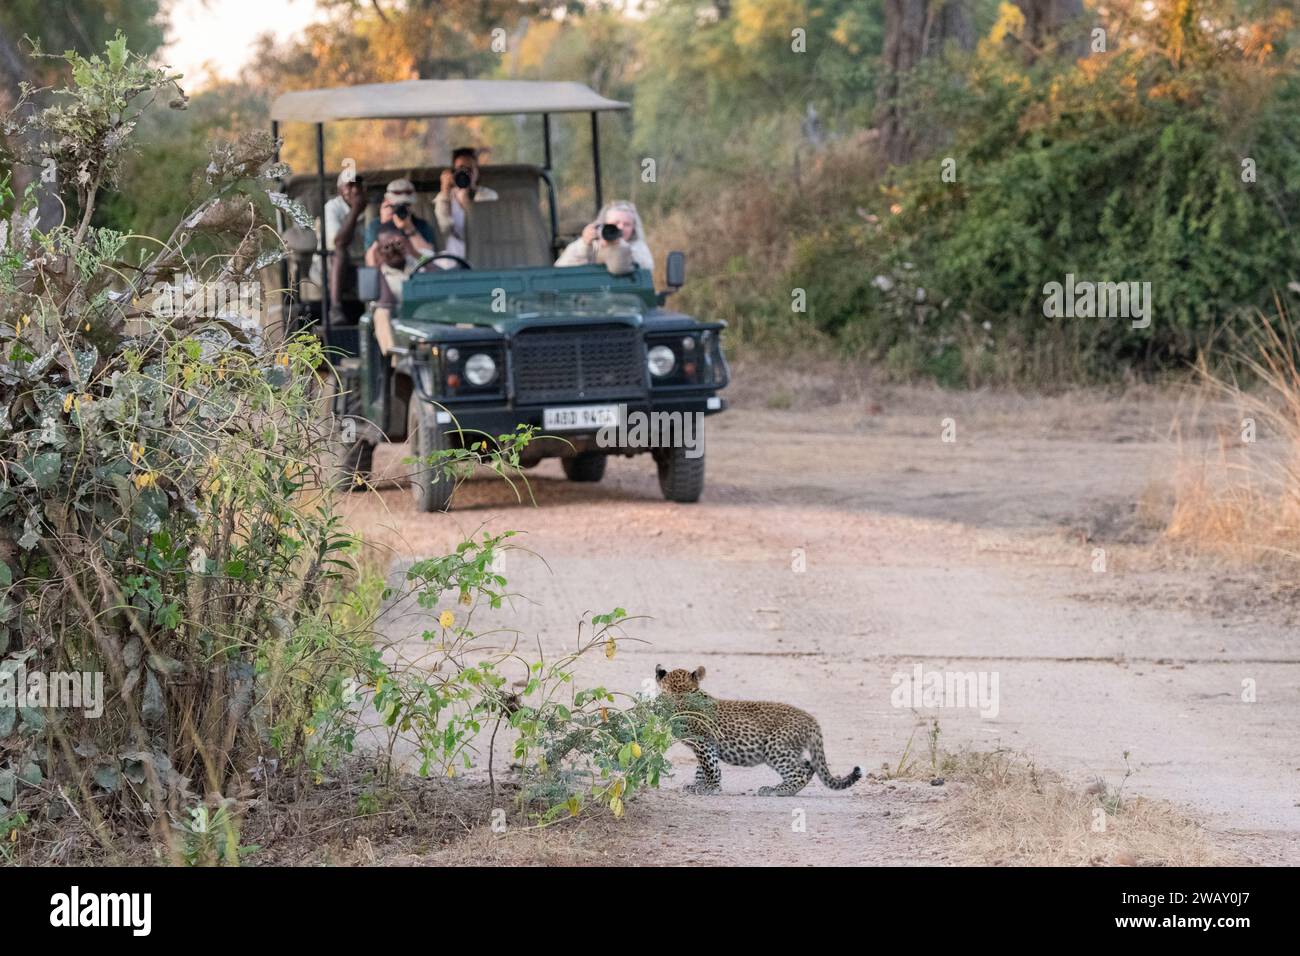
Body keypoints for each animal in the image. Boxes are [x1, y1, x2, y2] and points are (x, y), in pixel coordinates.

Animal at [654, 665, 863, 797]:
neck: (680, 693)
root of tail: (812, 721)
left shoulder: (702, 741)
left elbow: (709, 766)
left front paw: (709, 787)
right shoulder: (707, 744)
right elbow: (705, 766)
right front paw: (700, 785)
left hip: (775, 746)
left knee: (800, 771)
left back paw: (776, 790)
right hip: (790, 749)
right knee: (808, 765)